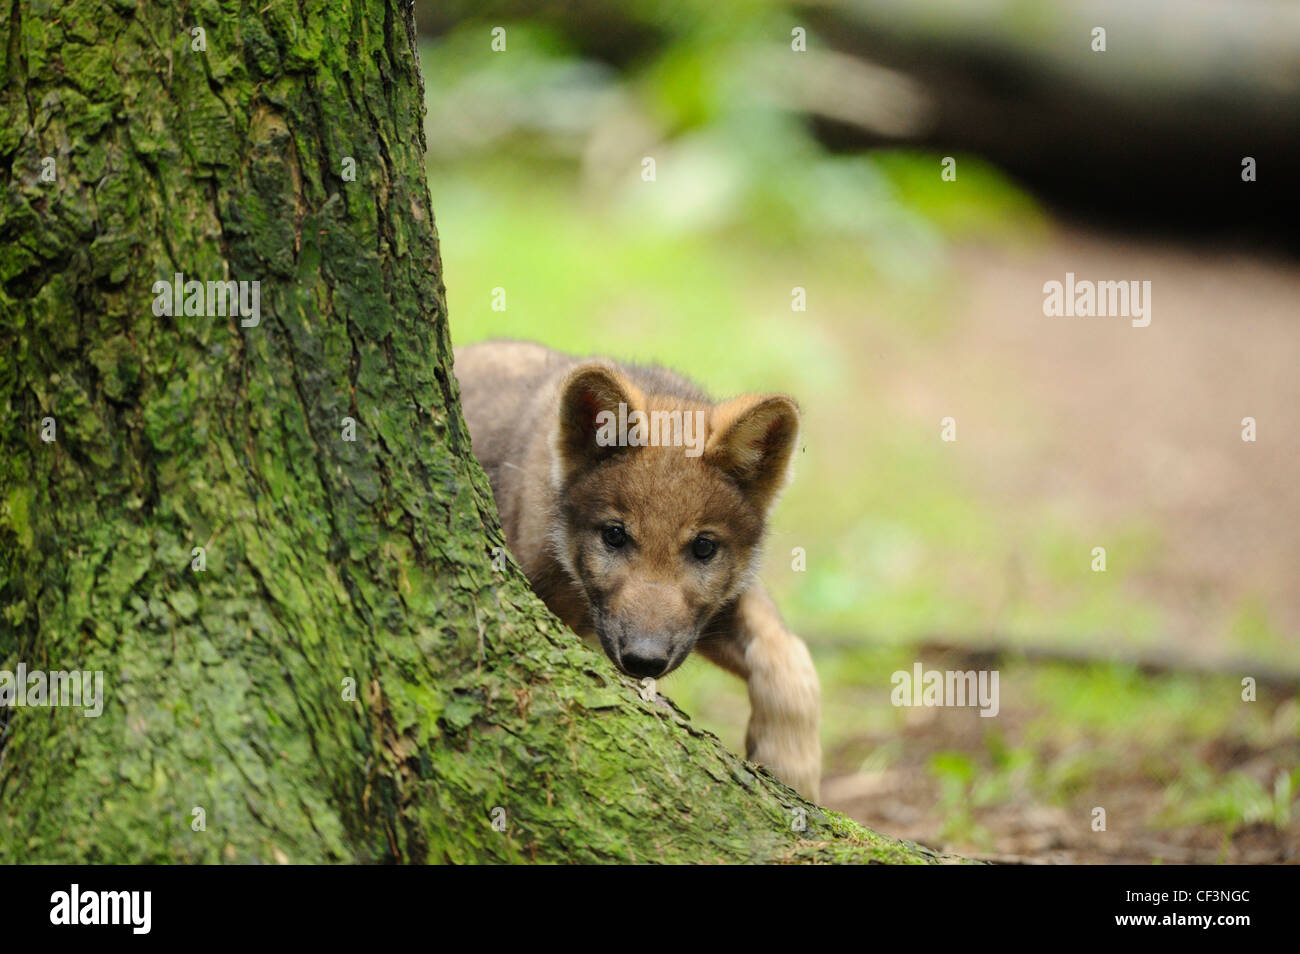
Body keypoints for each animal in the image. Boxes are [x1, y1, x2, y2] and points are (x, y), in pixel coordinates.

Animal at [455, 340, 821, 799]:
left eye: (704, 547)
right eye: (614, 535)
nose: (644, 660)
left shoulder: (717, 609)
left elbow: (789, 652)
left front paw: (791, 768)